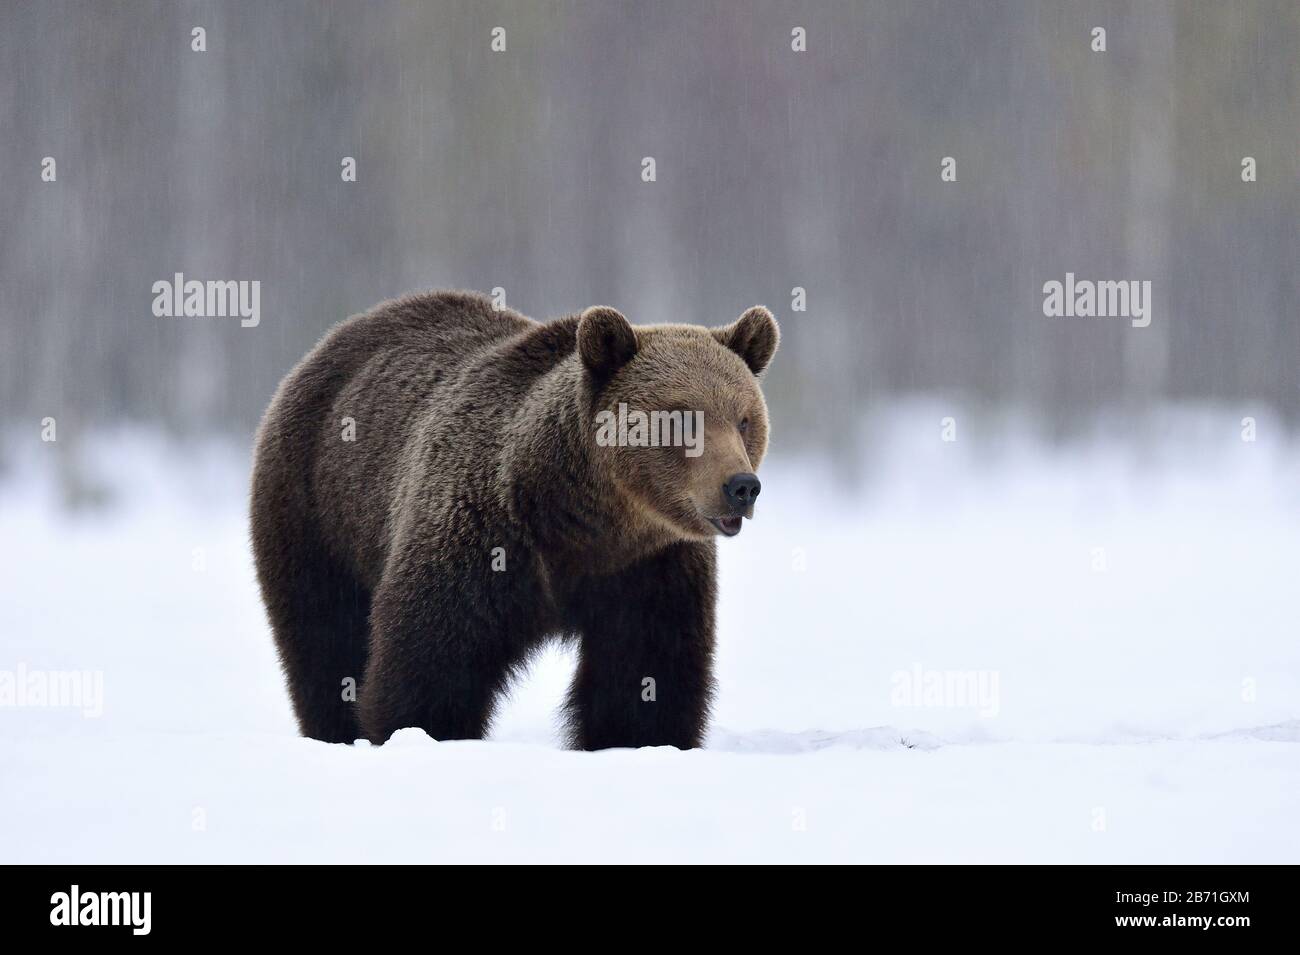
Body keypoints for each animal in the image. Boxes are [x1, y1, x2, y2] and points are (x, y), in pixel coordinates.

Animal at [250, 290, 778, 749]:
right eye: (682, 419)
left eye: (744, 418)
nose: (741, 486)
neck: (582, 524)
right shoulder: (480, 539)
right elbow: (431, 661)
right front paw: (419, 731)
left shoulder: (650, 570)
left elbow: (645, 675)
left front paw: (635, 739)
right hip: (316, 507)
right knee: (324, 636)